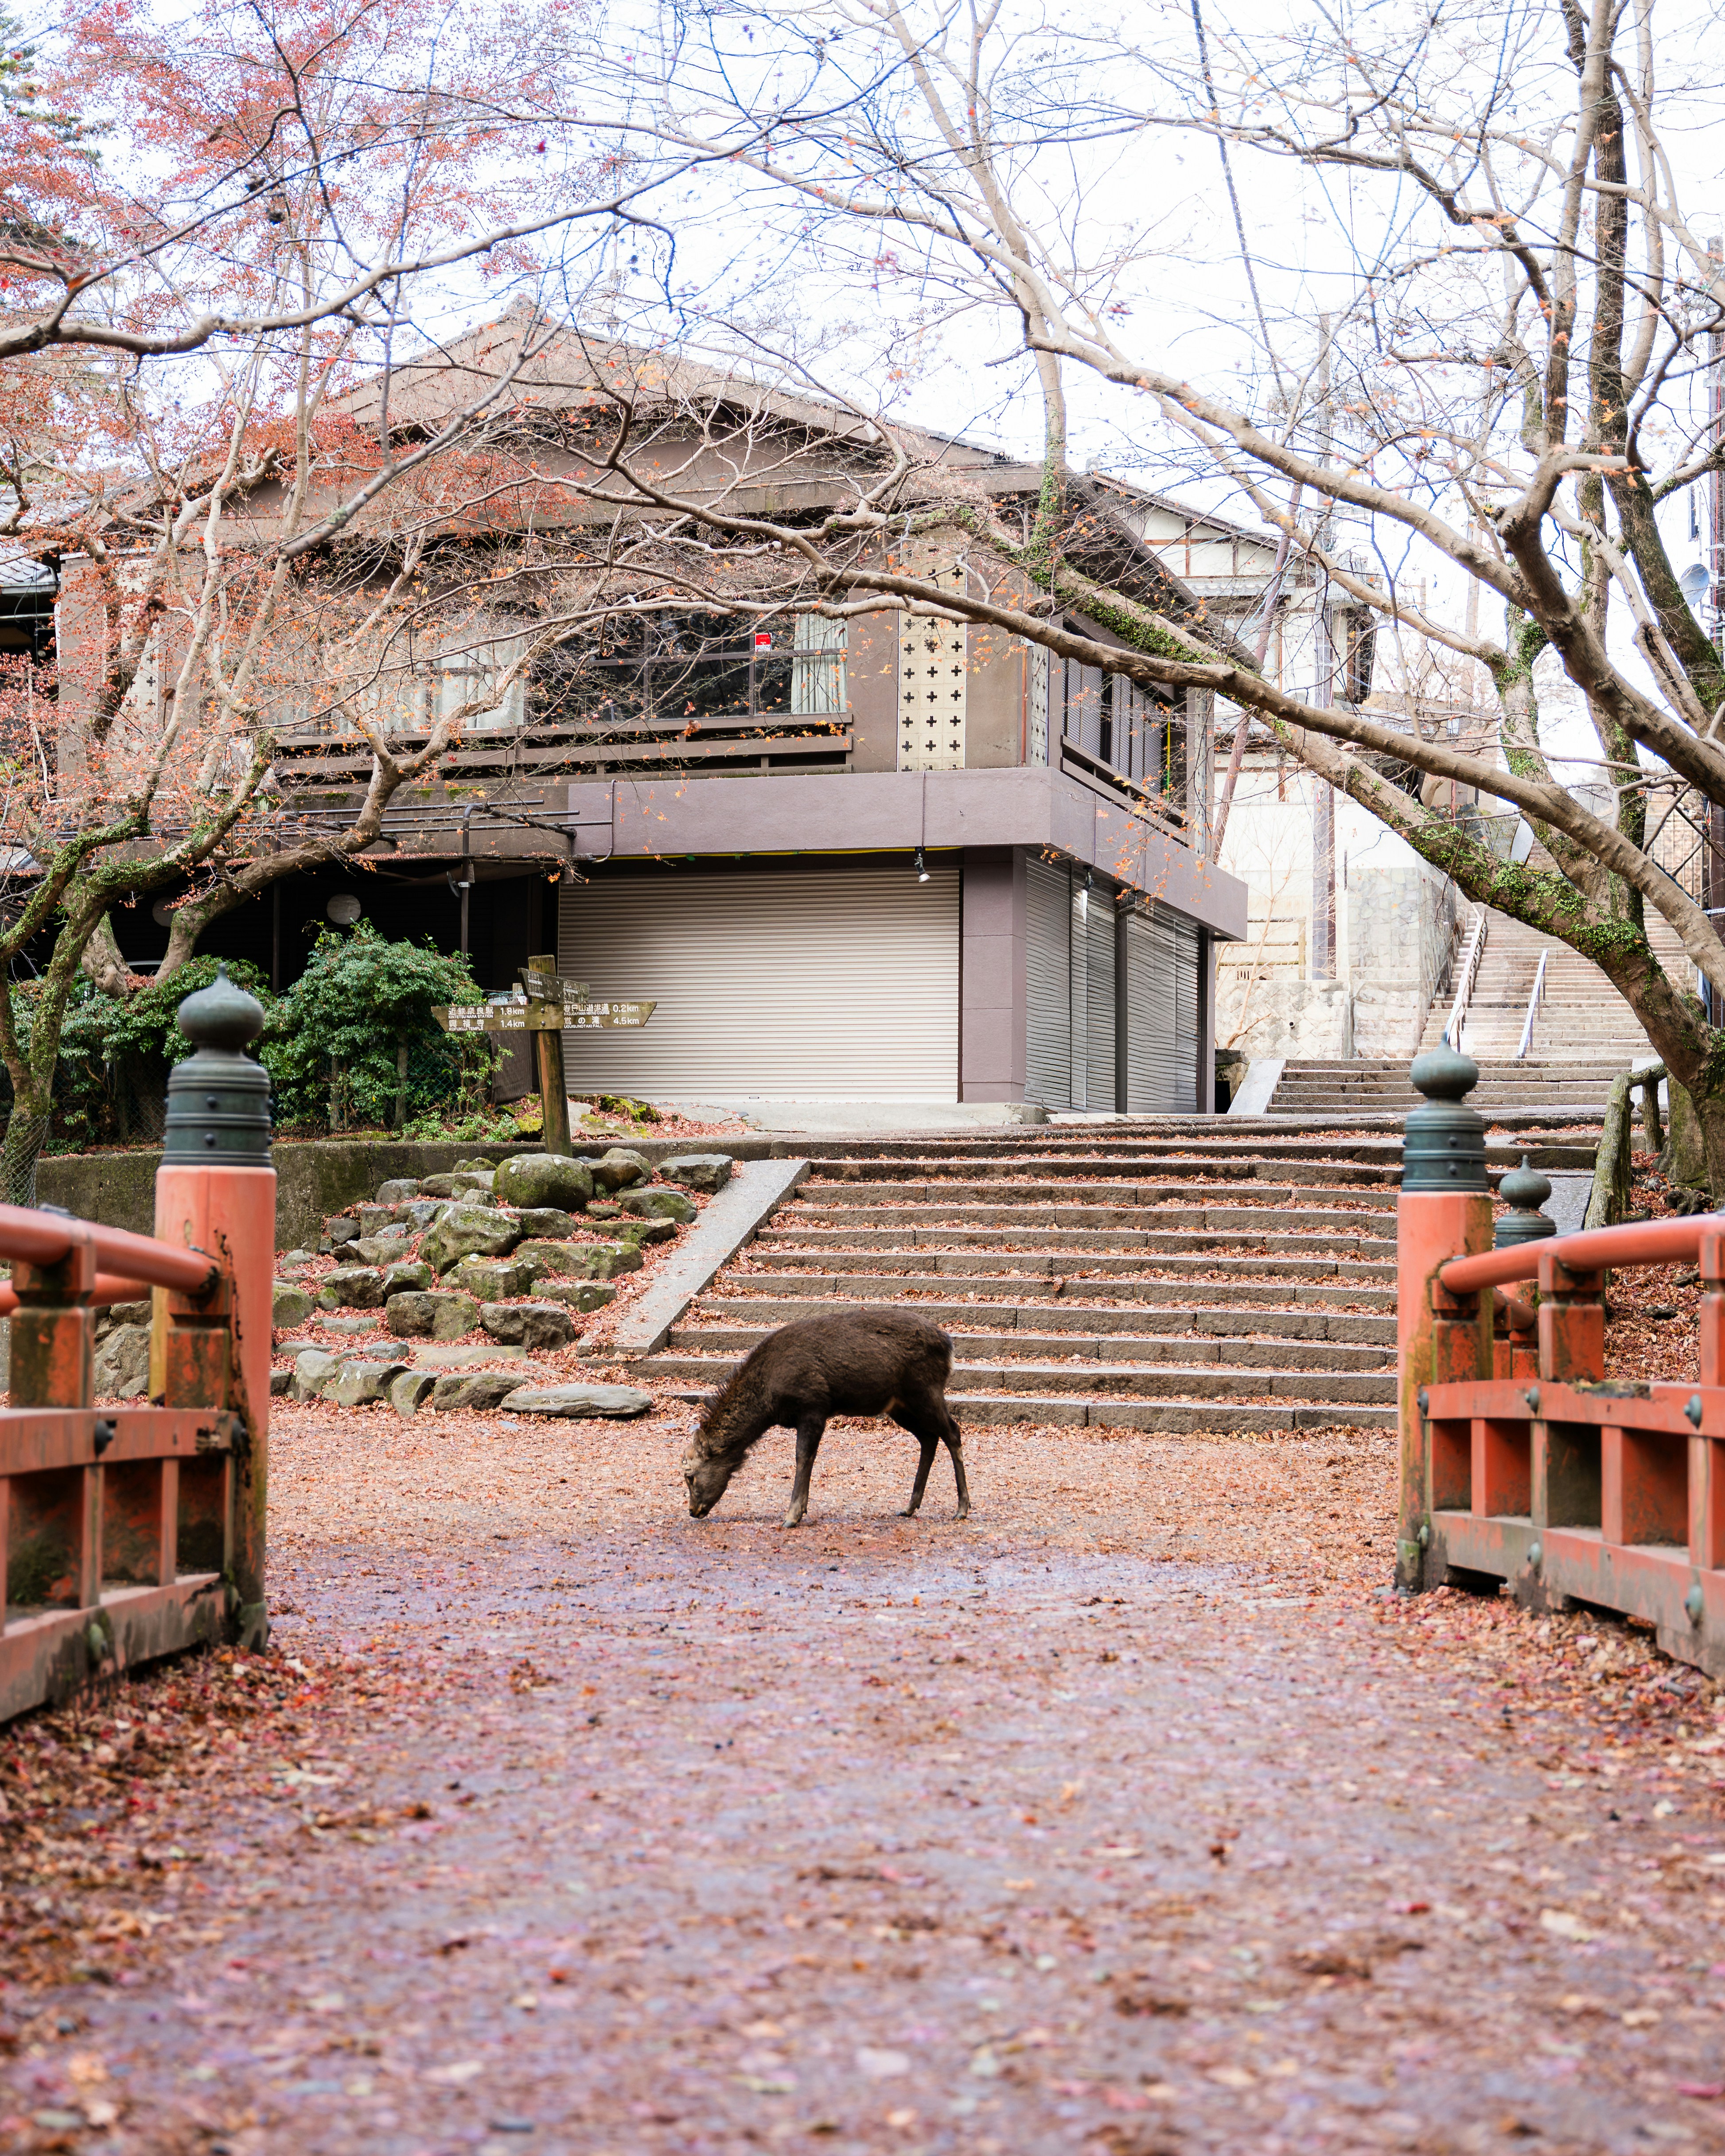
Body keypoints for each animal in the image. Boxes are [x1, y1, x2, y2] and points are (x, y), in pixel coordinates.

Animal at [681, 1308, 970, 1529]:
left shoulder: (813, 1405)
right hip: (900, 1406)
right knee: (929, 1438)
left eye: (690, 1476)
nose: (693, 1511)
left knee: (952, 1432)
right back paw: (910, 1507)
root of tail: (949, 1346)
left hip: (925, 1391)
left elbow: (803, 1457)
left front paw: (792, 1516)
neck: (768, 1404)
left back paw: (962, 1508)